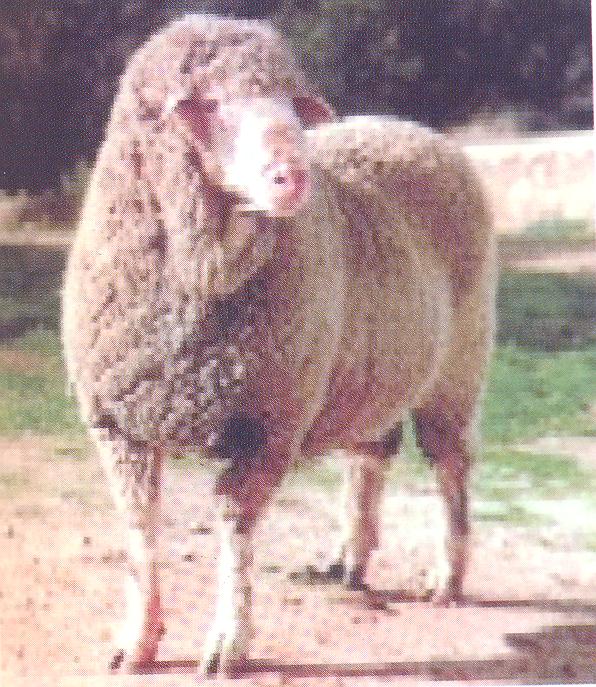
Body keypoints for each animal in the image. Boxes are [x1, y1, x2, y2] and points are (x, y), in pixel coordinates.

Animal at [62, 14, 496, 677]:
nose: (293, 177)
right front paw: (136, 642)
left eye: (293, 108)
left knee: (450, 469)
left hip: (455, 371)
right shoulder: (119, 426)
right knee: (372, 455)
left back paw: (446, 576)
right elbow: (140, 535)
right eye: (208, 104)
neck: (199, 286)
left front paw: (228, 643)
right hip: (370, 372)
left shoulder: (266, 425)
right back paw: (349, 560)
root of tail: (412, 127)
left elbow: (235, 536)